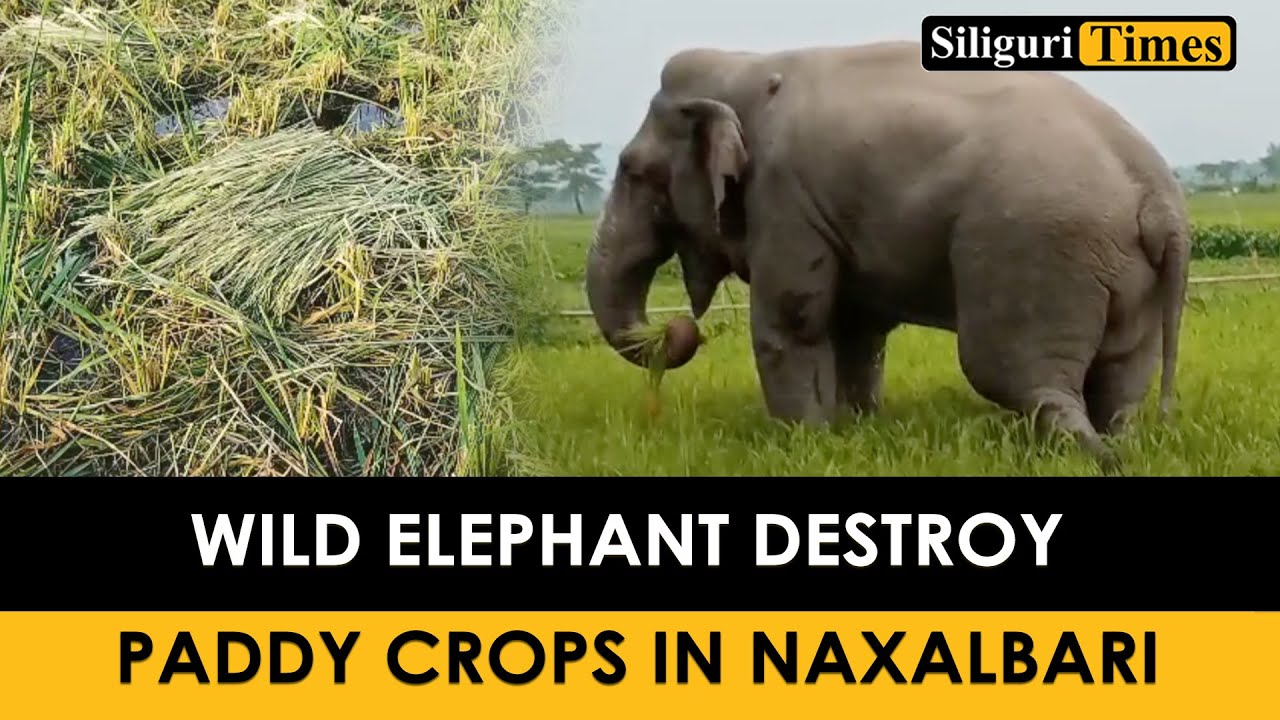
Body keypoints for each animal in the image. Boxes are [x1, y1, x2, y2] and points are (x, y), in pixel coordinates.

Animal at [584, 41, 1191, 473]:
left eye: (632, 172)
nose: (678, 329)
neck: (746, 68)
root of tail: (1158, 194)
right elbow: (857, 327)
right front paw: (853, 432)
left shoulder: (785, 199)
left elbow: (793, 320)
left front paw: (802, 443)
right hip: (1124, 271)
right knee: (1122, 381)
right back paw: (1122, 449)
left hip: (1037, 251)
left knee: (1014, 374)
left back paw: (1093, 458)